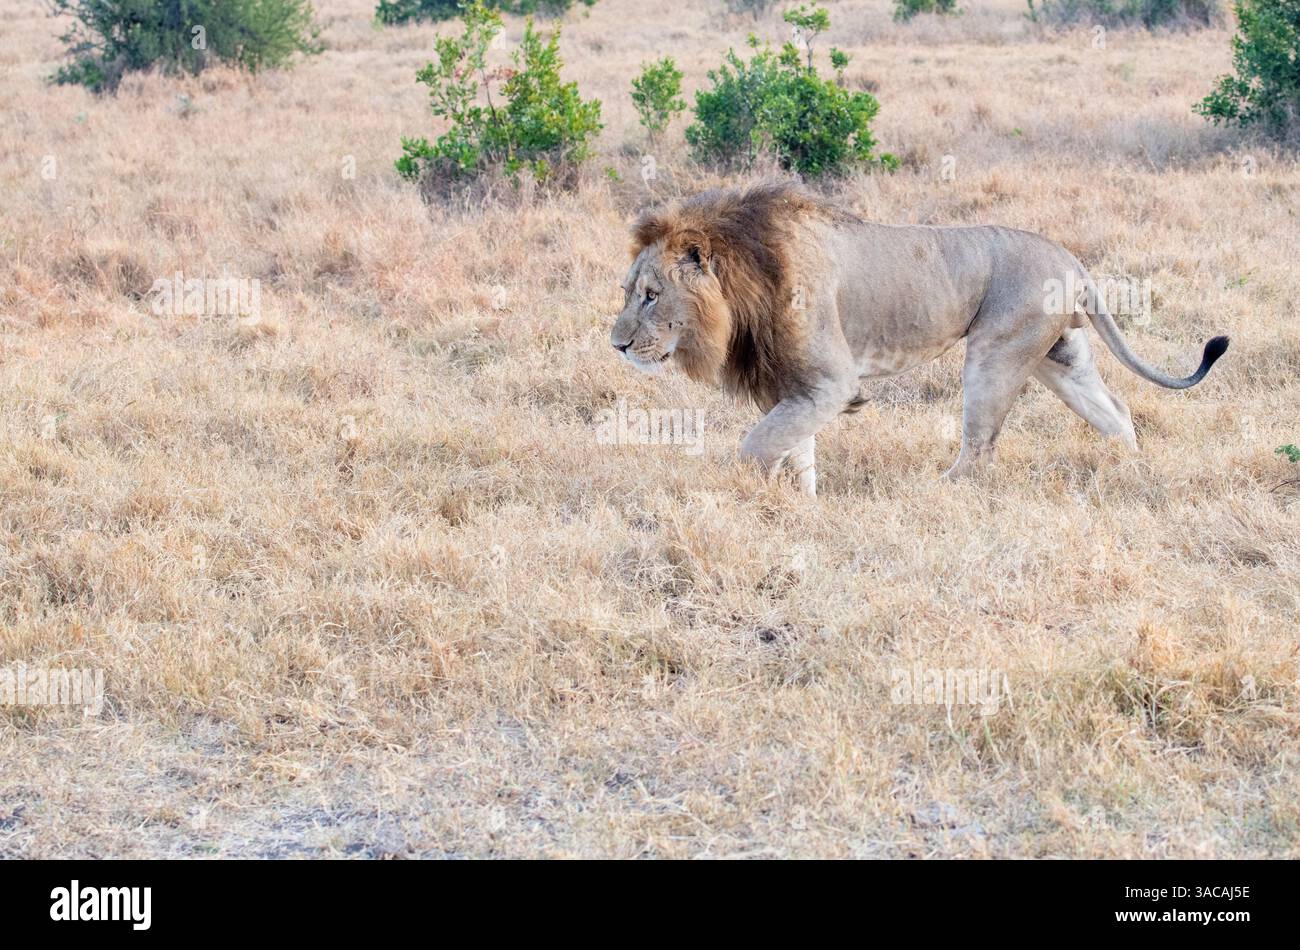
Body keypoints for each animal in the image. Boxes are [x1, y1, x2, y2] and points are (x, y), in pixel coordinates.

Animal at [610, 181, 1229, 495]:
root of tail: (1071, 260)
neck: (743, 288)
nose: (616, 345)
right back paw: (1130, 470)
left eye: (652, 295)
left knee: (980, 447)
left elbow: (758, 446)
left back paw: (934, 491)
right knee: (1116, 411)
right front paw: (804, 507)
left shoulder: (831, 384)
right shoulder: (795, 386)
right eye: (628, 290)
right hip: (1059, 357)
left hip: (994, 353)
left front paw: (751, 496)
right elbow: (797, 451)